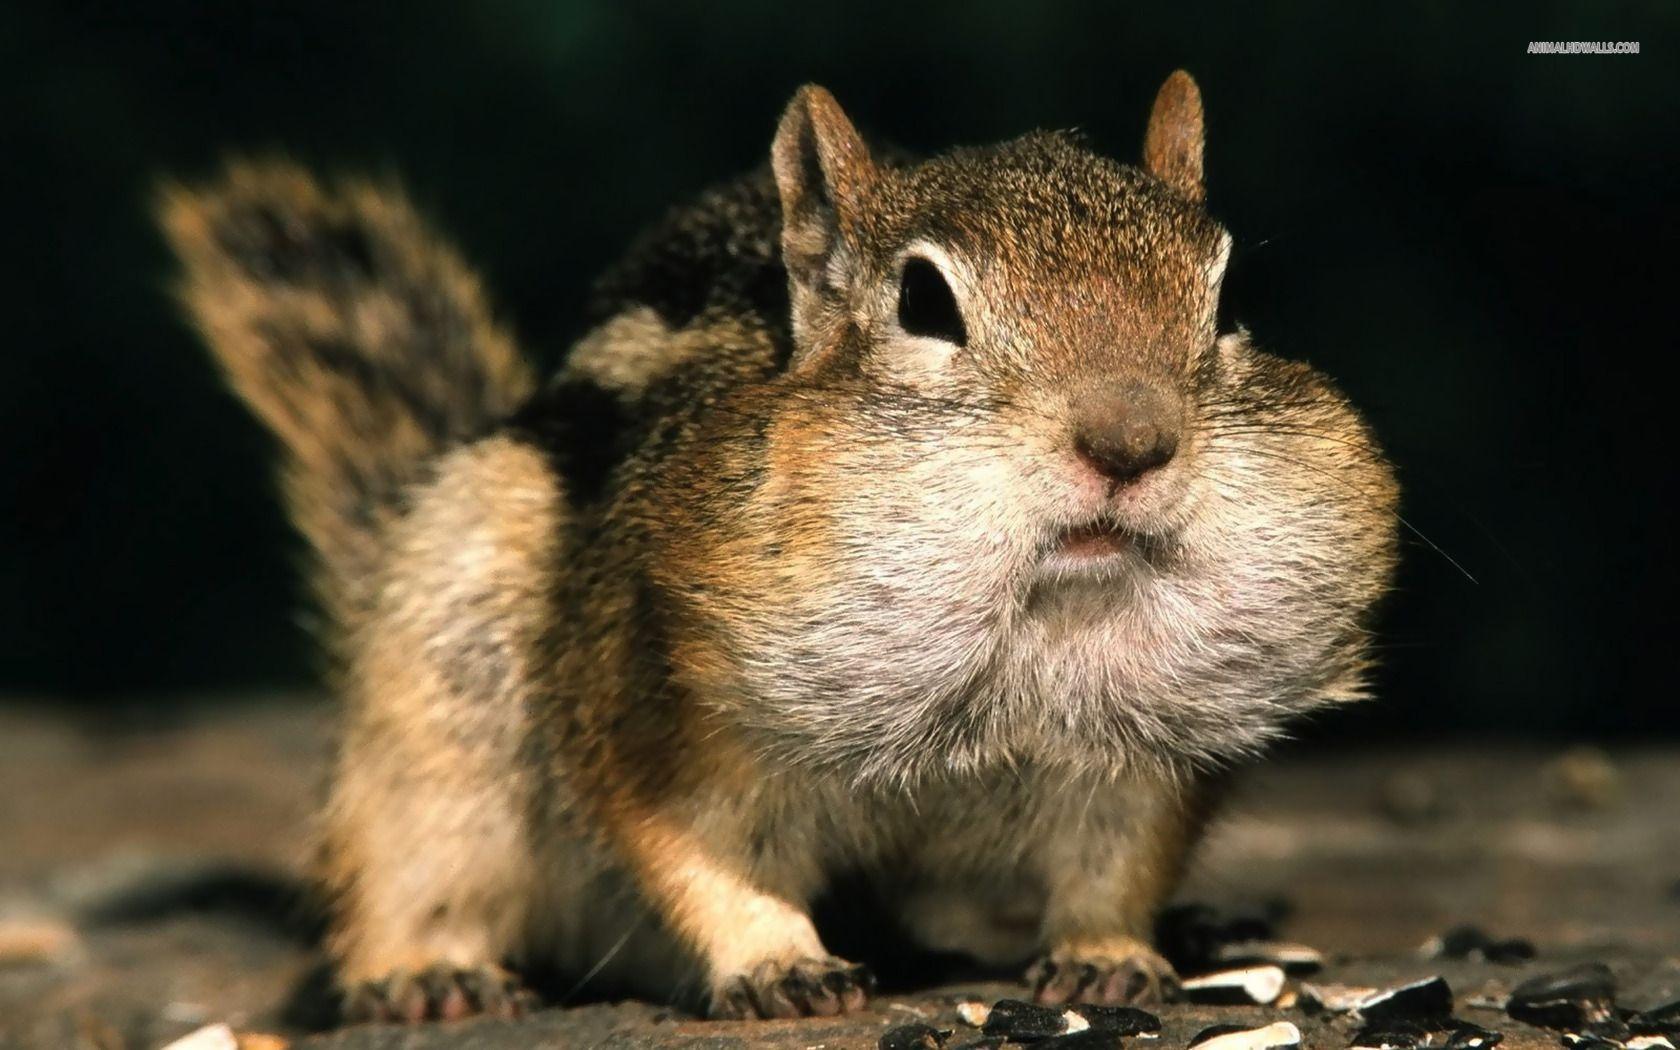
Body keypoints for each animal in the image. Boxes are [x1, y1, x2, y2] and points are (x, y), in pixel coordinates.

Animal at [159, 71, 1398, 1023]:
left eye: (1226, 301)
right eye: (924, 303)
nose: (1131, 443)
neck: (1033, 617)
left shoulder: (1142, 759)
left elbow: (1117, 860)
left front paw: (1112, 953)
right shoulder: (651, 703)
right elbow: (694, 845)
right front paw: (775, 962)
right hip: (434, 699)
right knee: (406, 860)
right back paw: (425, 974)